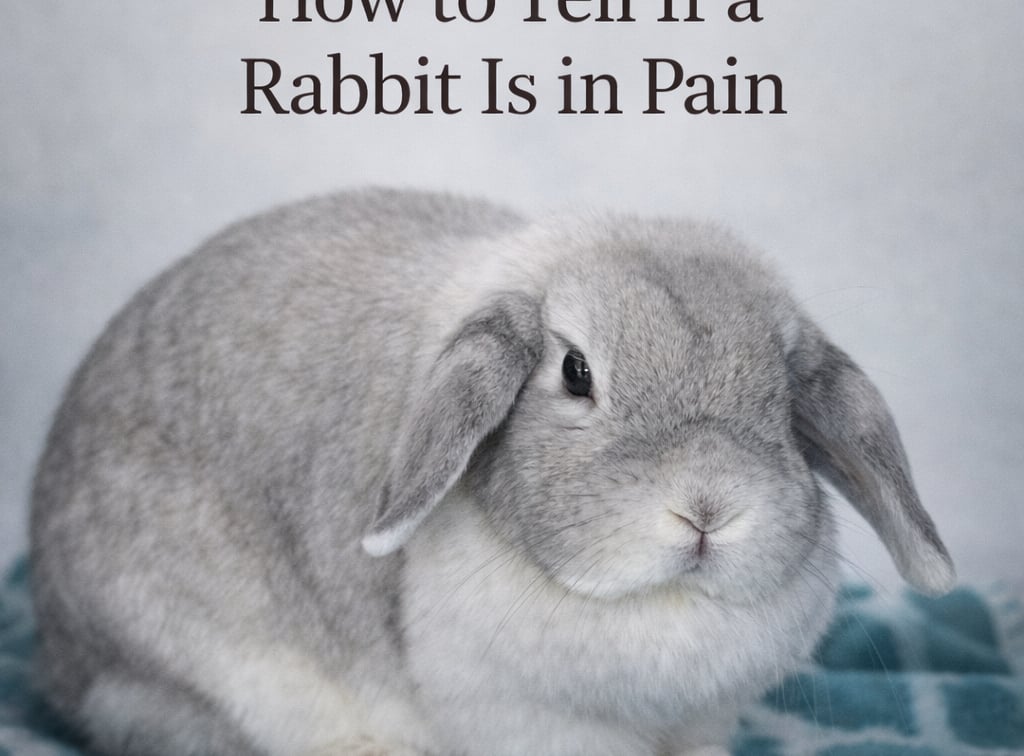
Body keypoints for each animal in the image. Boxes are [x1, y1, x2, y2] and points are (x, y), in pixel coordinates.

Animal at [30, 187, 955, 756]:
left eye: (783, 391)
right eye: (576, 372)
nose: (708, 508)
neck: (654, 608)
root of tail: (61, 654)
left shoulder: (699, 720)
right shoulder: (530, 721)